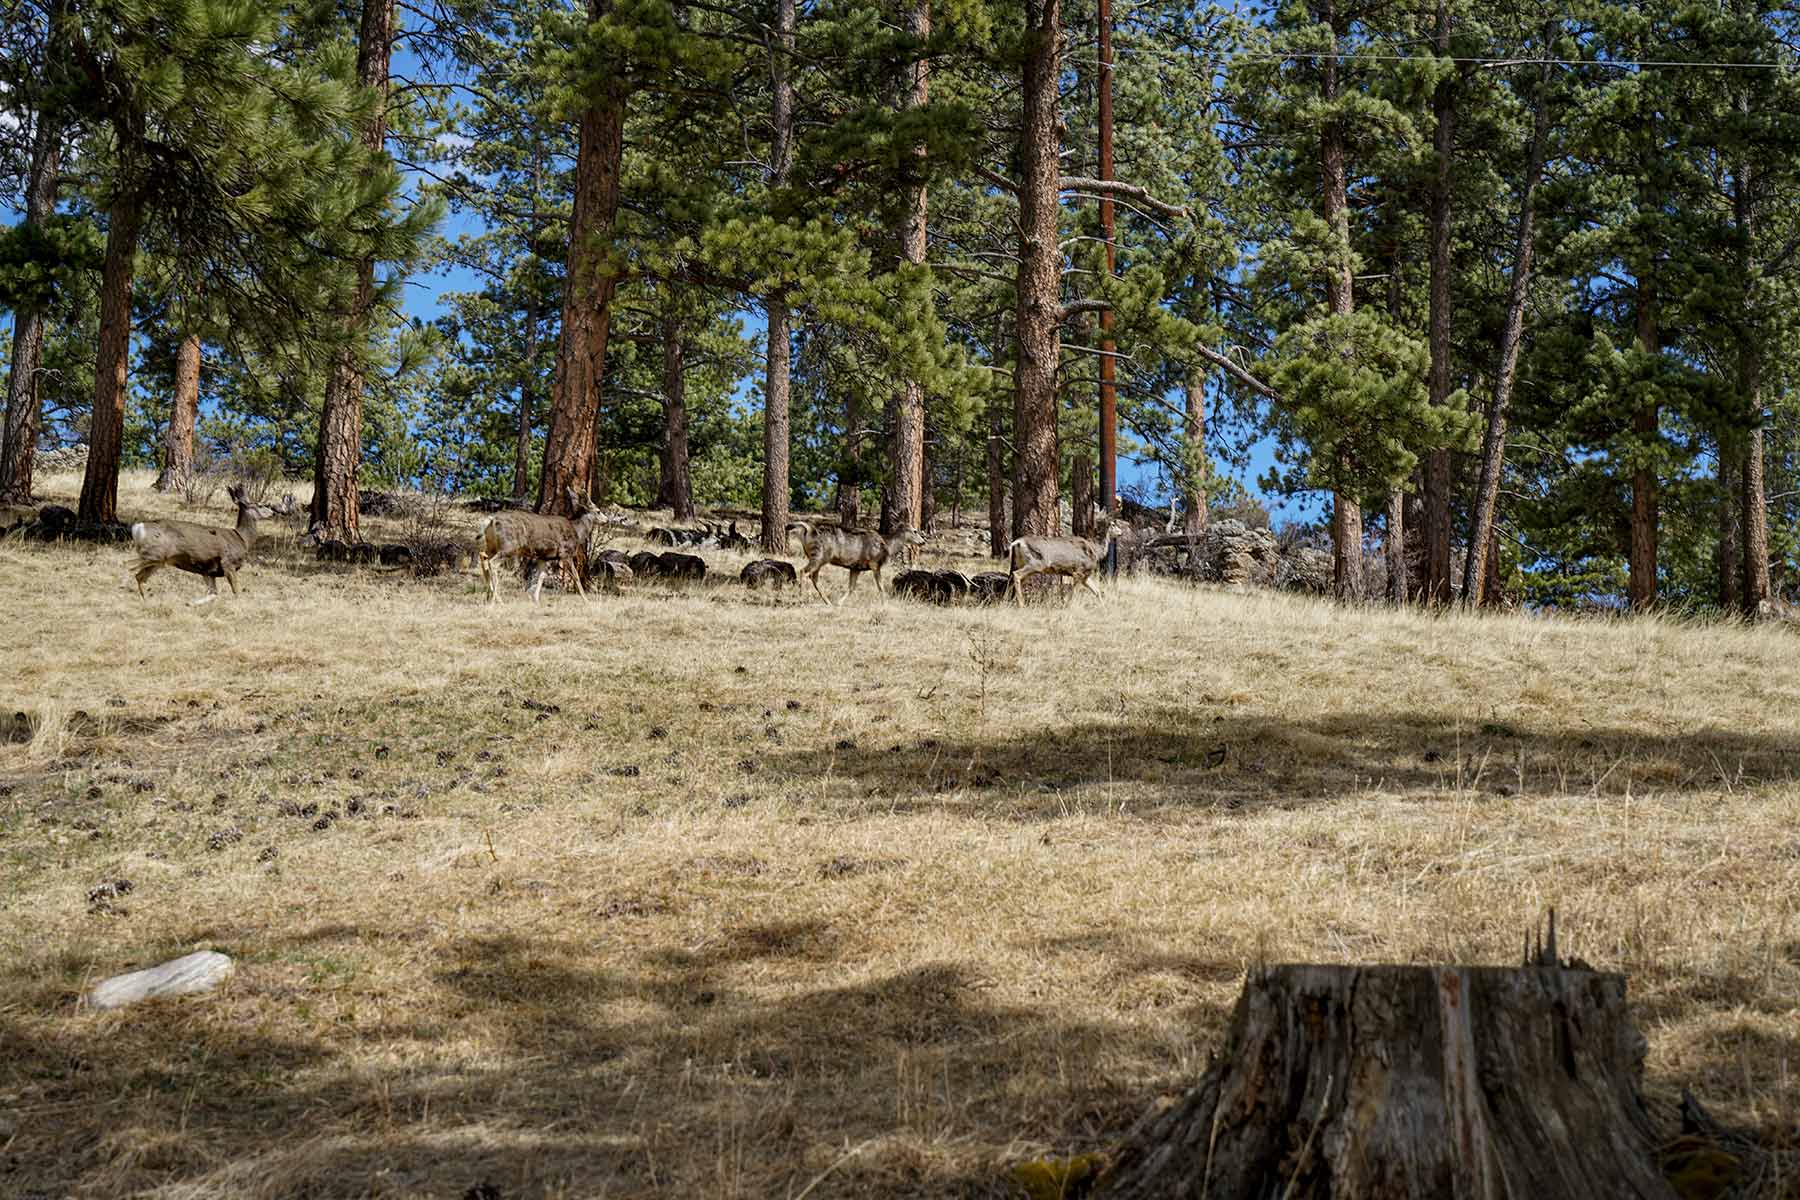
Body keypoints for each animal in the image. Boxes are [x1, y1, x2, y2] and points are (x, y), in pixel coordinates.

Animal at [129, 486, 295, 603]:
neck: (242, 538)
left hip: (157, 561)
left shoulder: (208, 571)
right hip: (154, 554)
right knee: (130, 567)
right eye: (260, 505)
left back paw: (146, 600)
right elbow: (236, 591)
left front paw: (190, 603)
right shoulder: (228, 563)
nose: (274, 511)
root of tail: (138, 528)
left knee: (139, 577)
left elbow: (213, 593)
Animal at [475, 487, 605, 603]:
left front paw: (536, 599)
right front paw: (586, 600)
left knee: (483, 556)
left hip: (492, 545)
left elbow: (541, 576)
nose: (606, 520)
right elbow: (576, 576)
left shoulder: (544, 556)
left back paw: (489, 595)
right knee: (492, 562)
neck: (577, 532)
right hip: (509, 545)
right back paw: (497, 599)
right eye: (598, 511)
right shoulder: (565, 553)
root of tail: (491, 519)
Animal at [784, 521, 926, 605]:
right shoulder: (874, 563)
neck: (886, 546)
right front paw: (884, 604)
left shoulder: (856, 567)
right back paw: (802, 598)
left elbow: (851, 588)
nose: (923, 542)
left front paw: (839, 603)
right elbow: (880, 586)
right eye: (914, 531)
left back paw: (828, 602)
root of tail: (808, 531)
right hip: (819, 555)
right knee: (804, 571)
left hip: (818, 558)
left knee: (814, 578)